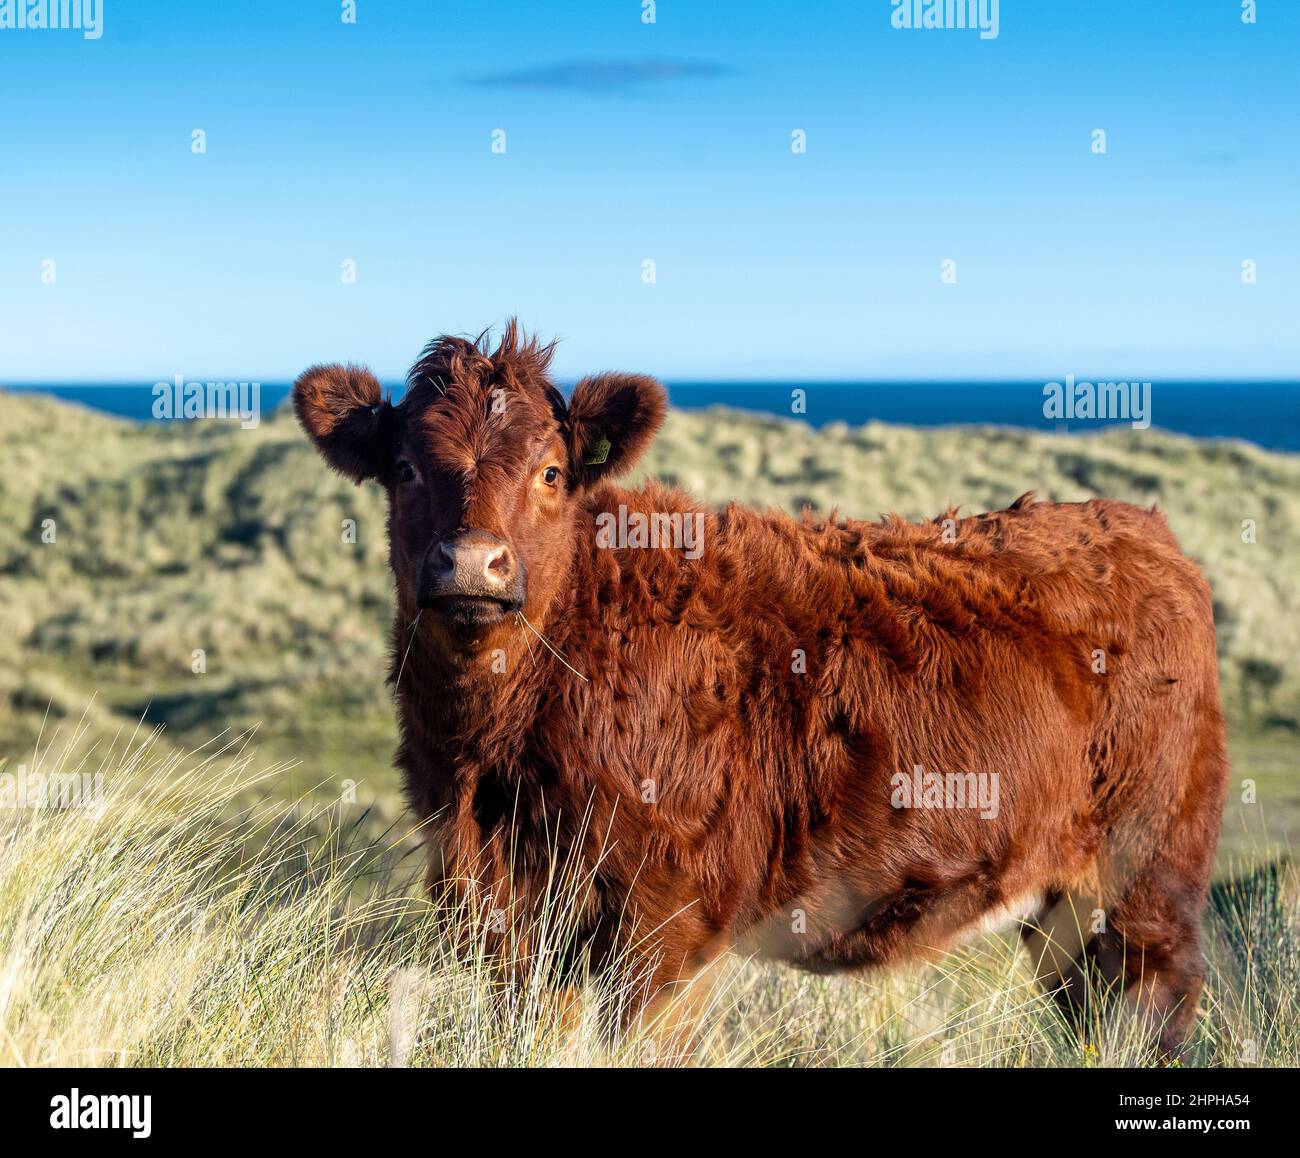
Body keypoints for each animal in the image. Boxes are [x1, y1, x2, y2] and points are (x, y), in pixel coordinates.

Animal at [292, 322, 1229, 1059]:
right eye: (405, 468)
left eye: (551, 472)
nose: (471, 565)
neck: (493, 748)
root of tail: (1133, 526)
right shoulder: (493, 910)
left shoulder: (664, 927)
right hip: (1064, 918)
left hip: (1144, 880)